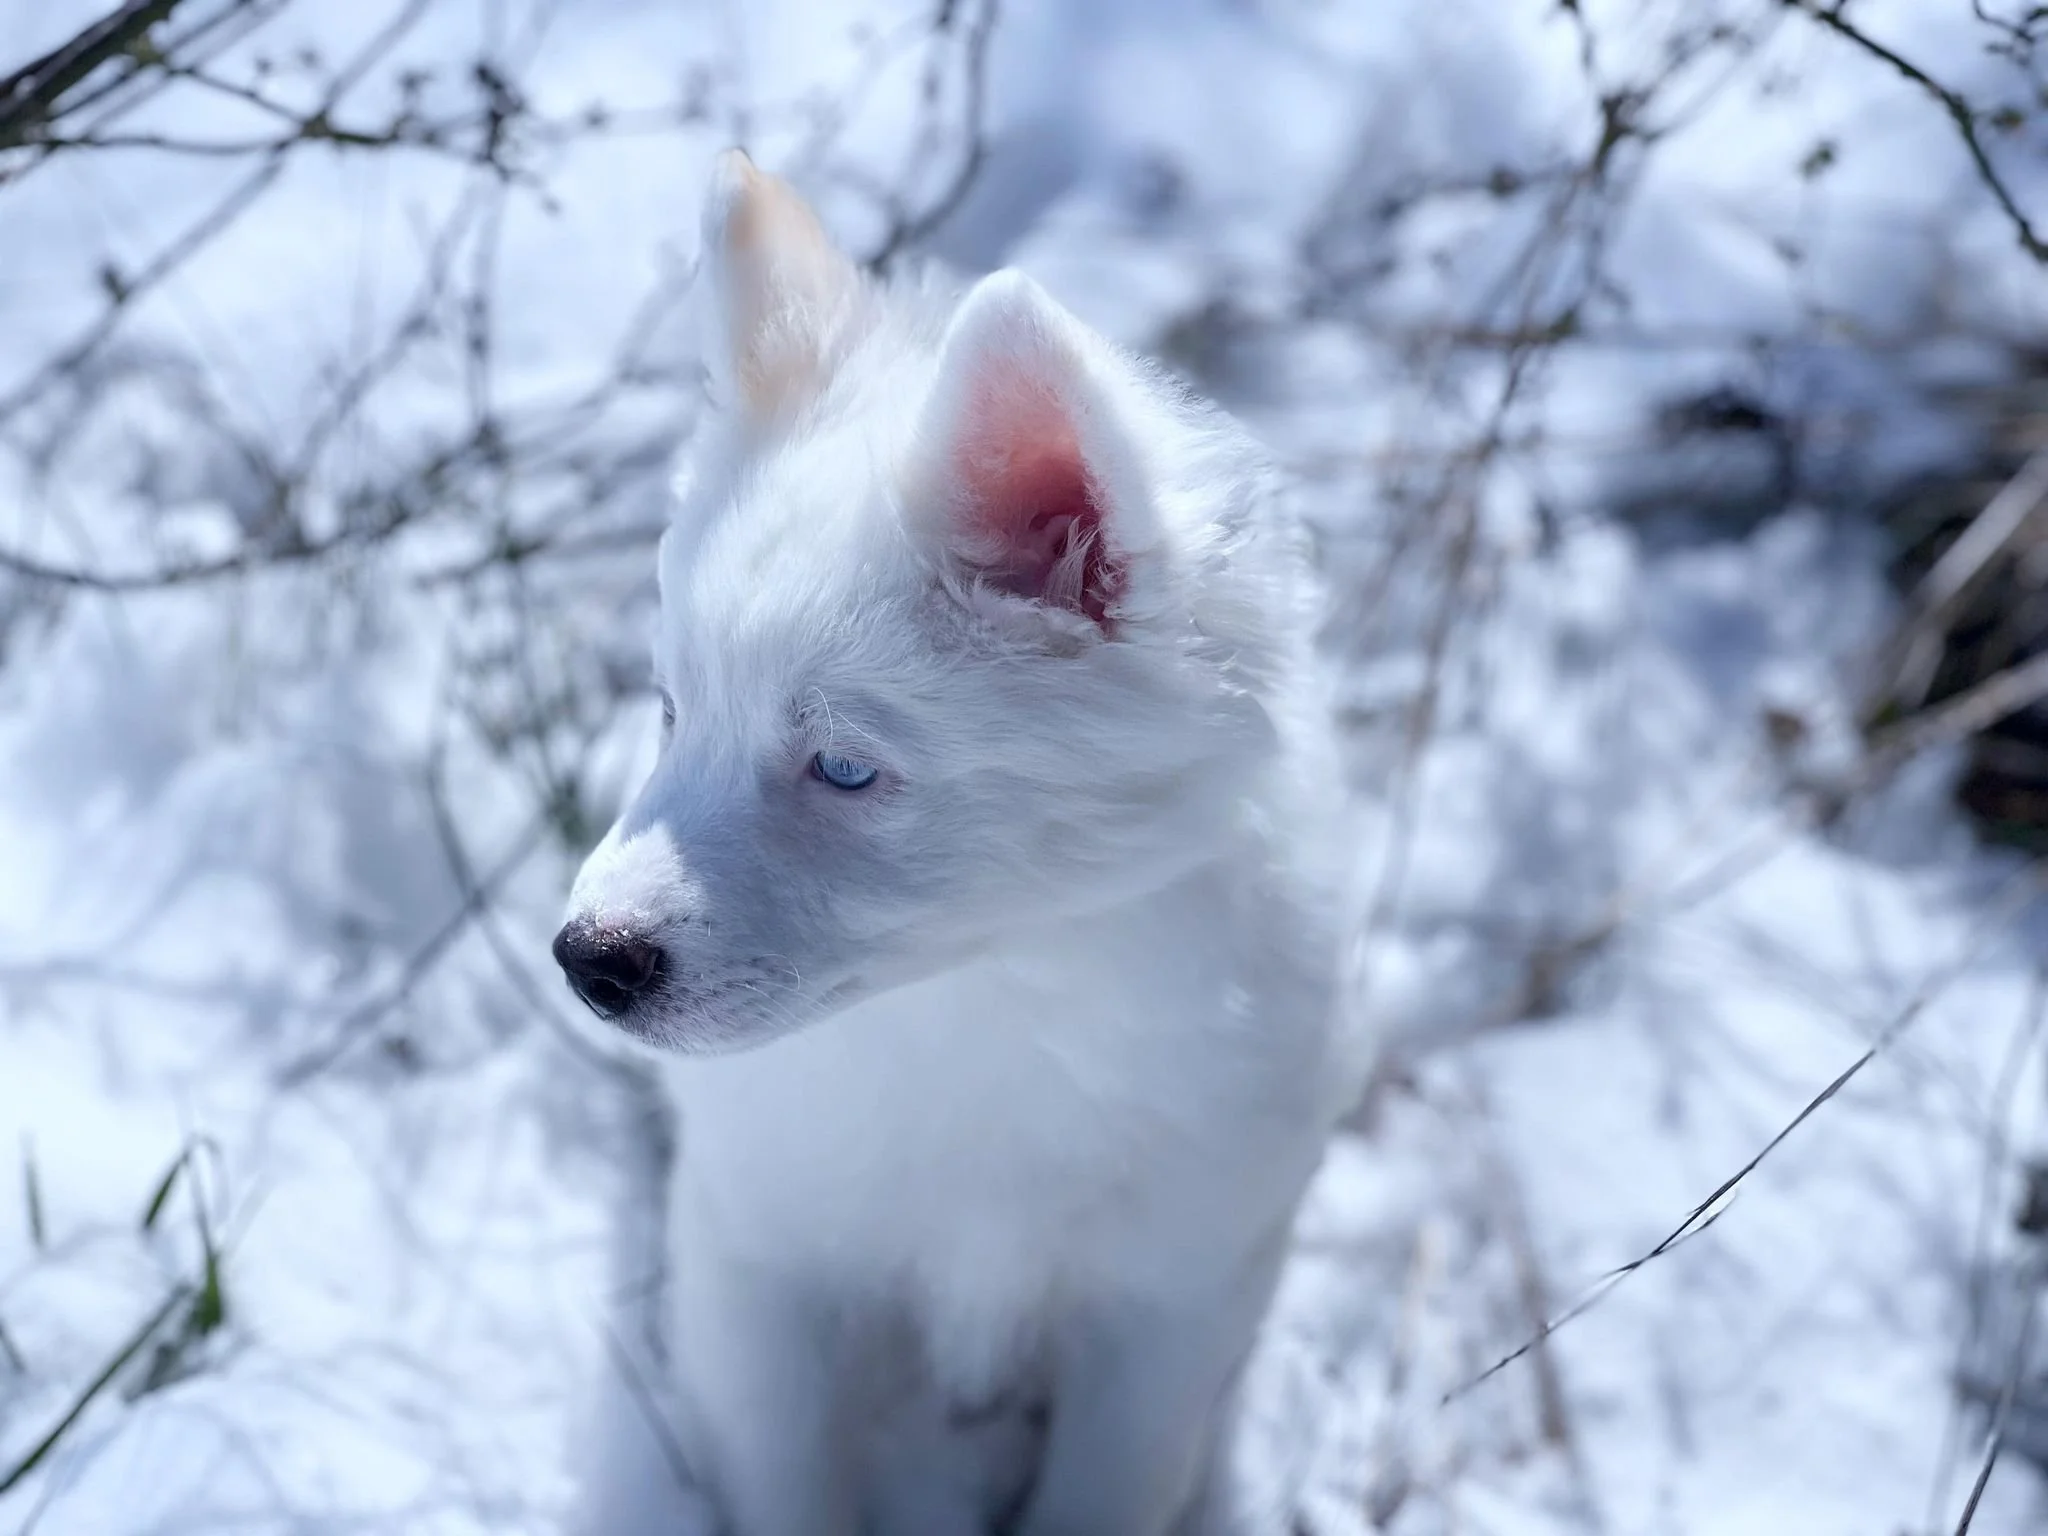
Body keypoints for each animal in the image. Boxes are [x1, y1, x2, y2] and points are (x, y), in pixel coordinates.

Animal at [555, 149, 1359, 1536]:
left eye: (843, 767)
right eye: (672, 711)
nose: (585, 960)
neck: (992, 1003)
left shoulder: (1174, 1293)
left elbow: (1105, 1492)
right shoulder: (759, 1268)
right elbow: (787, 1489)